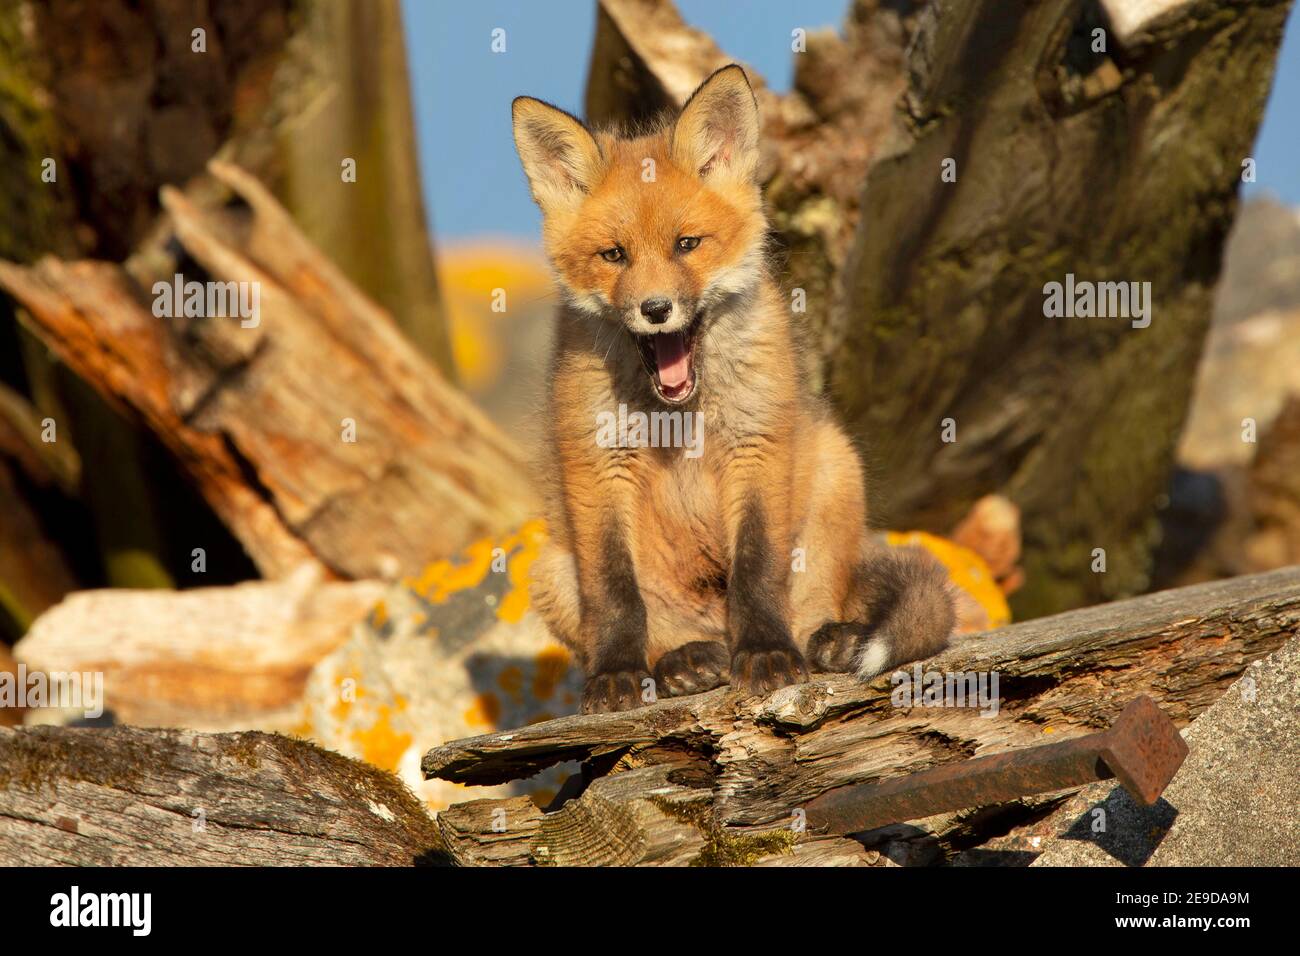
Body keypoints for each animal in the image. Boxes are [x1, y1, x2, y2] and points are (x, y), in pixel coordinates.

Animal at [516, 65, 956, 714]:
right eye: (614, 255)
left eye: (687, 244)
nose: (655, 310)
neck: (679, 416)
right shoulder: (597, 465)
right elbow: (615, 592)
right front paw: (616, 675)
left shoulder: (759, 446)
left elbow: (757, 568)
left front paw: (767, 653)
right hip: (549, 568)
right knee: (665, 633)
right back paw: (683, 661)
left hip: (836, 468)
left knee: (814, 611)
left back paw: (827, 641)